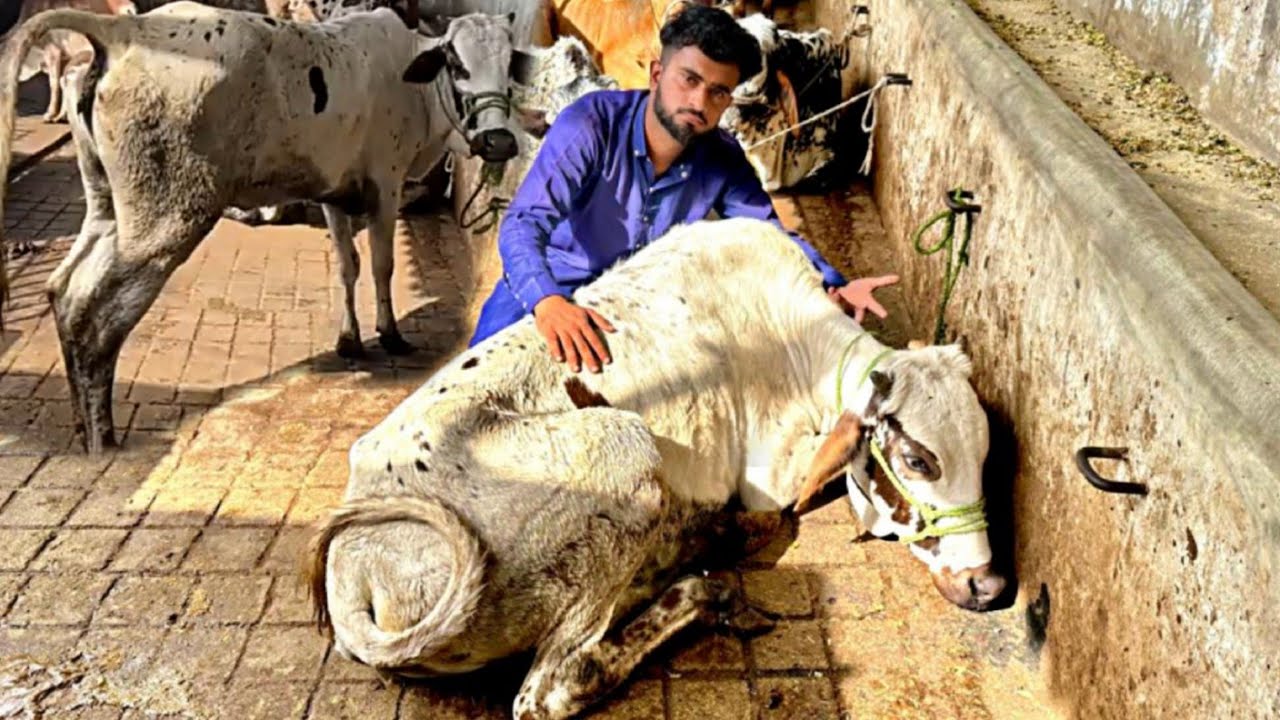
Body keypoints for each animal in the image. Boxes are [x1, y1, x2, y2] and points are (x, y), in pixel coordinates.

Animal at [5, 0, 138, 122]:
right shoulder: (66, 58)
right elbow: (63, 82)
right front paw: (61, 116)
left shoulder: (53, 52)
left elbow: (54, 84)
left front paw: (50, 115)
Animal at [305, 217, 1005, 720]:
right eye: (917, 459)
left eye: (986, 455)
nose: (987, 585)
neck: (796, 339)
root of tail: (357, 567)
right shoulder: (770, 474)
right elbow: (784, 505)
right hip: (627, 451)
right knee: (550, 690)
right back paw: (704, 579)